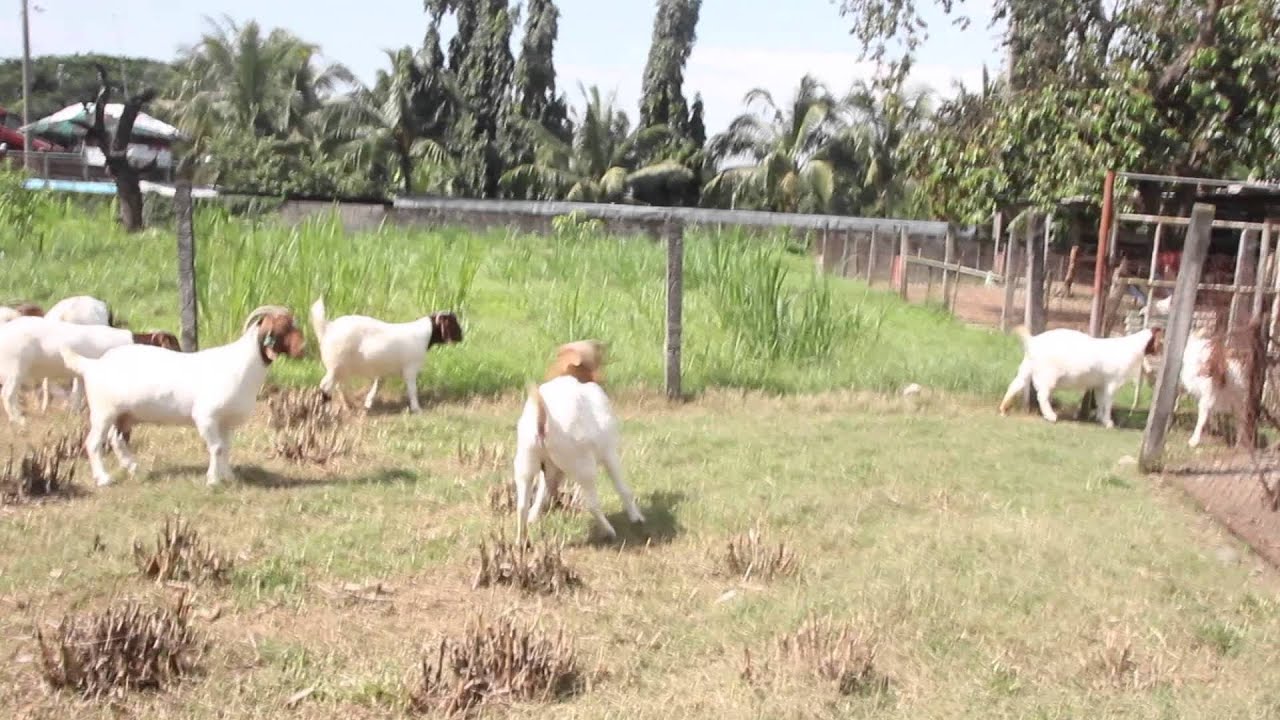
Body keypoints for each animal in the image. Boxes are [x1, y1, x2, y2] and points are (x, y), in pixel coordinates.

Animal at [0, 316, 179, 425]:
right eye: (173, 345)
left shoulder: (81, 375)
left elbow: (77, 394)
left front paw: (74, 414)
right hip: (15, 368)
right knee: (8, 394)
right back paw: (18, 420)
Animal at [61, 306, 305, 487]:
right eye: (284, 327)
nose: (303, 349)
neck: (242, 365)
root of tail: (92, 365)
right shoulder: (205, 417)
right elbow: (216, 448)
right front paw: (213, 481)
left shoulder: (225, 422)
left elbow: (225, 448)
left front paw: (228, 477)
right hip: (103, 411)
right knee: (94, 443)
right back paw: (104, 479)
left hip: (123, 414)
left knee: (117, 440)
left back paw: (134, 469)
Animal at [309, 297, 463, 412]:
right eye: (453, 323)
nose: (462, 337)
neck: (425, 335)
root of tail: (328, 328)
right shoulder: (410, 369)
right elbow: (412, 390)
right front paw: (417, 409)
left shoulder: (383, 371)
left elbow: (378, 386)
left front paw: (368, 402)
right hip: (336, 365)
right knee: (325, 386)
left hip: (341, 368)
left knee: (339, 386)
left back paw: (349, 405)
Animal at [998, 325, 1163, 428]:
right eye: (1159, 341)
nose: (1160, 351)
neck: (1133, 349)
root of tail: (1033, 341)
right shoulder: (1112, 383)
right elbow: (1108, 402)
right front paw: (1108, 422)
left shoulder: (1100, 384)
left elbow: (1101, 401)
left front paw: (1100, 418)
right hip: (1047, 374)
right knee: (1042, 395)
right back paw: (1051, 416)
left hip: (1027, 367)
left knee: (1016, 384)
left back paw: (1004, 409)